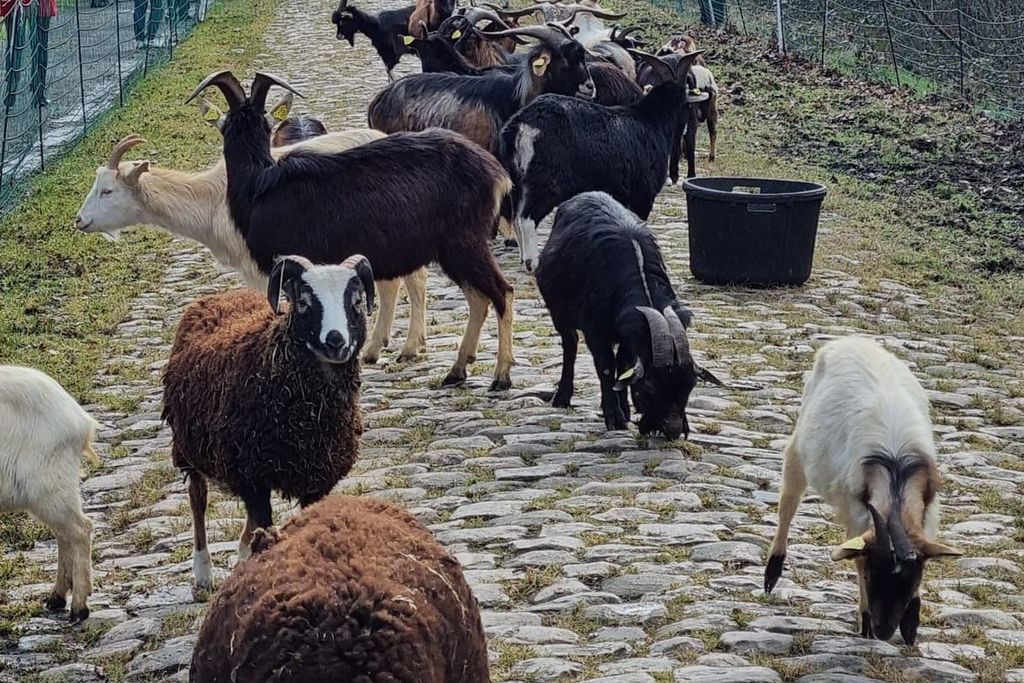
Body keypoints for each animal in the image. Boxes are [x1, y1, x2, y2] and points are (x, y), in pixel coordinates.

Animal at [0, 366, 99, 622]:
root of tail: (82, 422)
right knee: (64, 534)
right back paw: (57, 597)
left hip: (50, 488)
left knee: (80, 529)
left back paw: (79, 608)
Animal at [186, 71, 515, 390]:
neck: (260, 184)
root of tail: (495, 172)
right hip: (454, 252)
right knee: (478, 298)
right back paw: (457, 370)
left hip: (464, 243)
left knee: (501, 293)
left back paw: (500, 375)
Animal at [500, 50, 704, 271]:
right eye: (686, 101)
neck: (651, 121)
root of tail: (521, 126)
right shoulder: (642, 194)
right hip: (545, 181)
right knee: (526, 219)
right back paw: (532, 262)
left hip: (517, 180)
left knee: (516, 216)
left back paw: (523, 258)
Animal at [535, 192, 721, 439]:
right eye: (650, 385)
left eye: (690, 385)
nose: (672, 429)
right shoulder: (596, 331)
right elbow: (606, 367)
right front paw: (615, 418)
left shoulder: (628, 336)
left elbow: (624, 365)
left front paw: (624, 409)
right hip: (558, 312)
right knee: (570, 344)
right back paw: (563, 397)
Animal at [763, 336, 963, 645]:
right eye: (871, 576)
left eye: (913, 580)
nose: (884, 631)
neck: (894, 472)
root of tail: (847, 340)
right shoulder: (856, 512)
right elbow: (856, 558)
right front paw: (867, 621)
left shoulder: (929, 511)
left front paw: (910, 626)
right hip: (797, 449)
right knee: (789, 502)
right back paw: (772, 572)